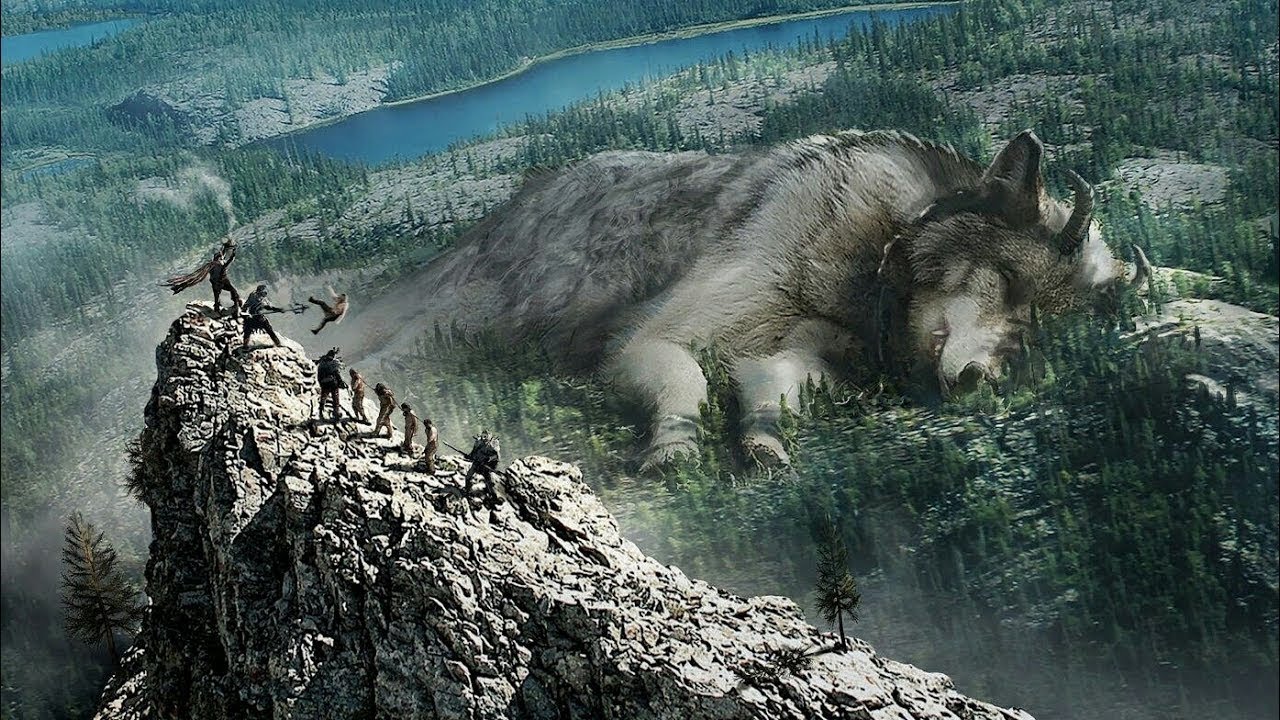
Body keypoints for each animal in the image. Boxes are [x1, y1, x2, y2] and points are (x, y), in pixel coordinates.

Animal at [395, 130, 1148, 469]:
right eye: (1011, 284)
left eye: (1040, 331)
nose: (987, 381)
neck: (869, 264)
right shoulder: (653, 338)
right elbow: (687, 382)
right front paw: (674, 450)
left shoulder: (800, 352)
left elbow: (773, 390)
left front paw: (763, 442)